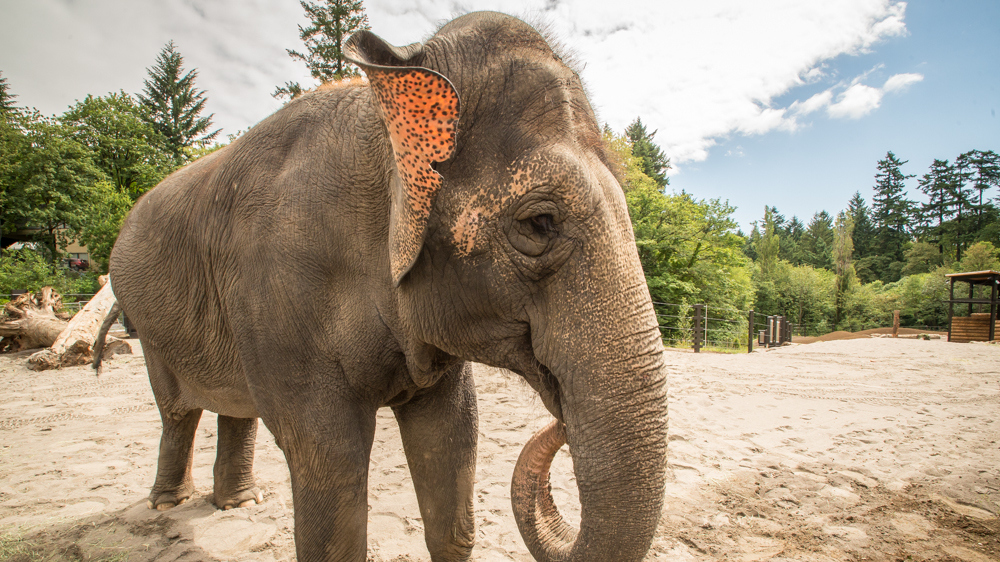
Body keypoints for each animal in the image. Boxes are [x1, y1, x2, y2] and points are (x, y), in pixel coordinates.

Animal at [102, 11, 668, 562]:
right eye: (540, 223)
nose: (559, 423)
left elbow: (453, 437)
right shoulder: (279, 291)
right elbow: (329, 456)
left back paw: (238, 503)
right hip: (147, 323)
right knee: (176, 409)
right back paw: (167, 504)